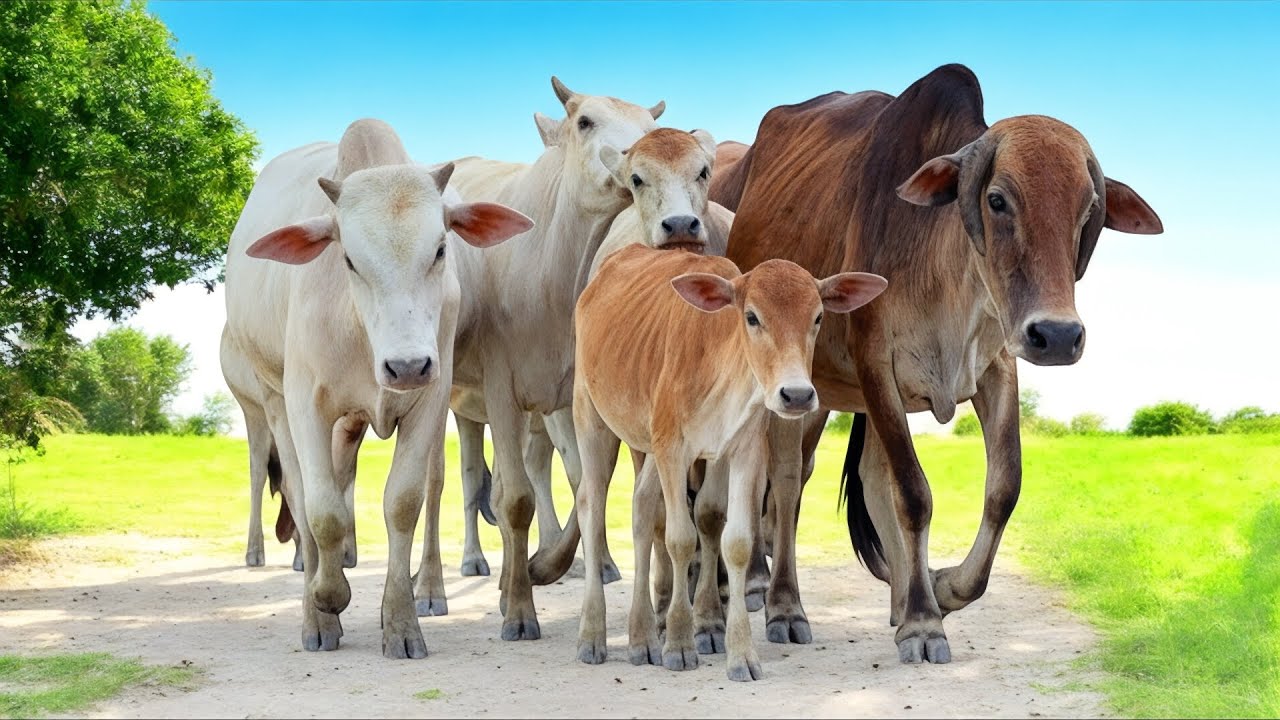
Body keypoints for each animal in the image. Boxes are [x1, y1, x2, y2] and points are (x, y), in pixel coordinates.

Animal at [222, 118, 531, 656]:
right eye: (348, 259)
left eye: (441, 249)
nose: (406, 365)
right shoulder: (304, 404)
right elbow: (322, 511)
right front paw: (327, 599)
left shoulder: (430, 401)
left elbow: (403, 503)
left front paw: (401, 622)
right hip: (273, 404)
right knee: (300, 494)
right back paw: (319, 610)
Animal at [410, 78, 664, 640]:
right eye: (584, 121)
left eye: (650, 128)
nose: (630, 164)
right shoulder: (503, 389)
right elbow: (516, 499)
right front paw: (522, 612)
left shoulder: (566, 395)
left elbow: (580, 486)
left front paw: (540, 570)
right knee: (438, 483)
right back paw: (431, 585)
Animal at [572, 244, 886, 680]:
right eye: (752, 316)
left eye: (818, 317)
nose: (796, 395)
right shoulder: (672, 448)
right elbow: (680, 538)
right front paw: (680, 643)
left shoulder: (741, 449)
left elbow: (732, 538)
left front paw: (739, 653)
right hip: (591, 414)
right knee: (591, 505)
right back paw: (592, 635)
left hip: (650, 445)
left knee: (641, 507)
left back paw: (642, 637)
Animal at [710, 63, 1162, 663]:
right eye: (997, 199)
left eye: (1090, 208)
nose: (1058, 336)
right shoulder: (876, 367)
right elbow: (914, 494)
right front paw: (925, 623)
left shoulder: (996, 369)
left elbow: (1002, 489)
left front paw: (939, 592)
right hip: (794, 396)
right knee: (787, 483)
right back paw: (786, 606)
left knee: (862, 480)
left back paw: (902, 596)